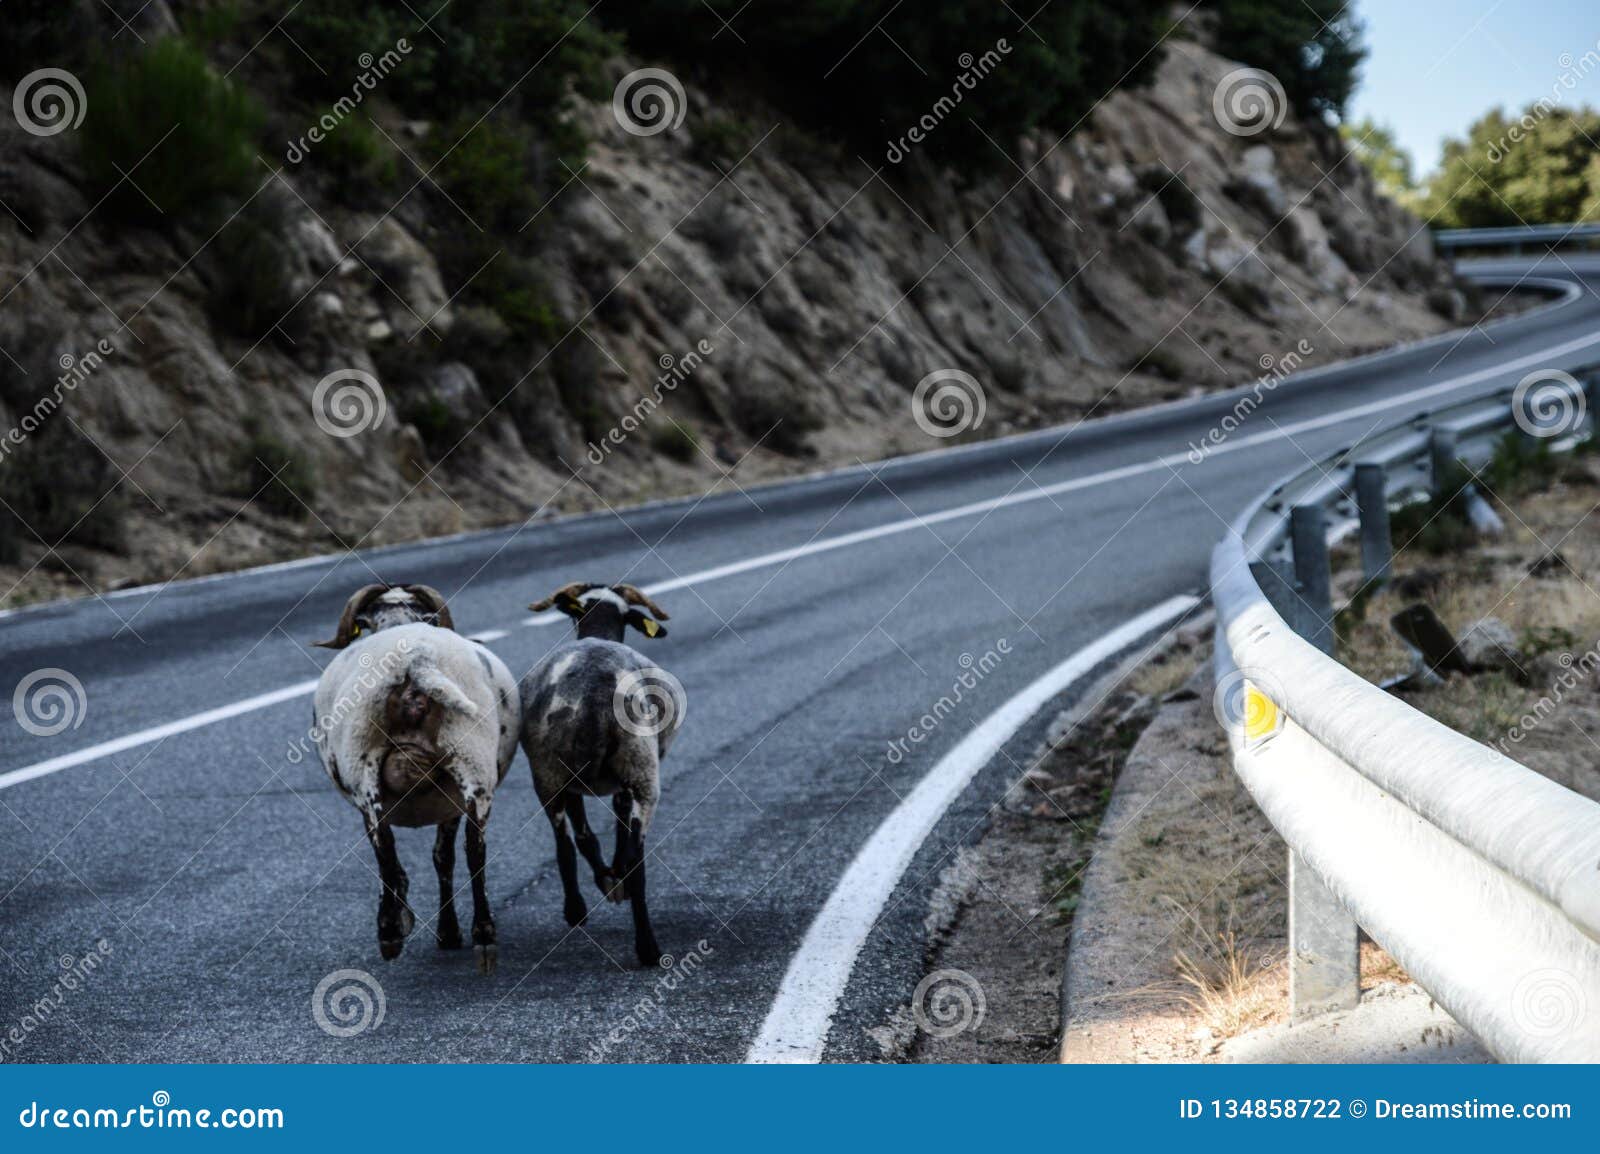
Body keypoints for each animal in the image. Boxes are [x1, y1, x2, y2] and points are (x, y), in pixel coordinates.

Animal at [312, 584, 519, 973]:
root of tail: (415, 661)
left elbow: (423, 859)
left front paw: (420, 923)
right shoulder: (449, 801)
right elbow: (443, 857)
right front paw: (447, 931)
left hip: (365, 766)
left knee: (385, 848)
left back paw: (390, 931)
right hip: (472, 763)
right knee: (474, 849)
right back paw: (484, 934)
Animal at [519, 582, 680, 966]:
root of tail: (595, 692)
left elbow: (590, 837)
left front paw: (608, 878)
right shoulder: (621, 782)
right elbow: (613, 829)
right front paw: (613, 878)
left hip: (550, 773)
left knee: (566, 843)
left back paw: (580, 911)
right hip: (640, 770)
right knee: (630, 857)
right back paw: (644, 944)